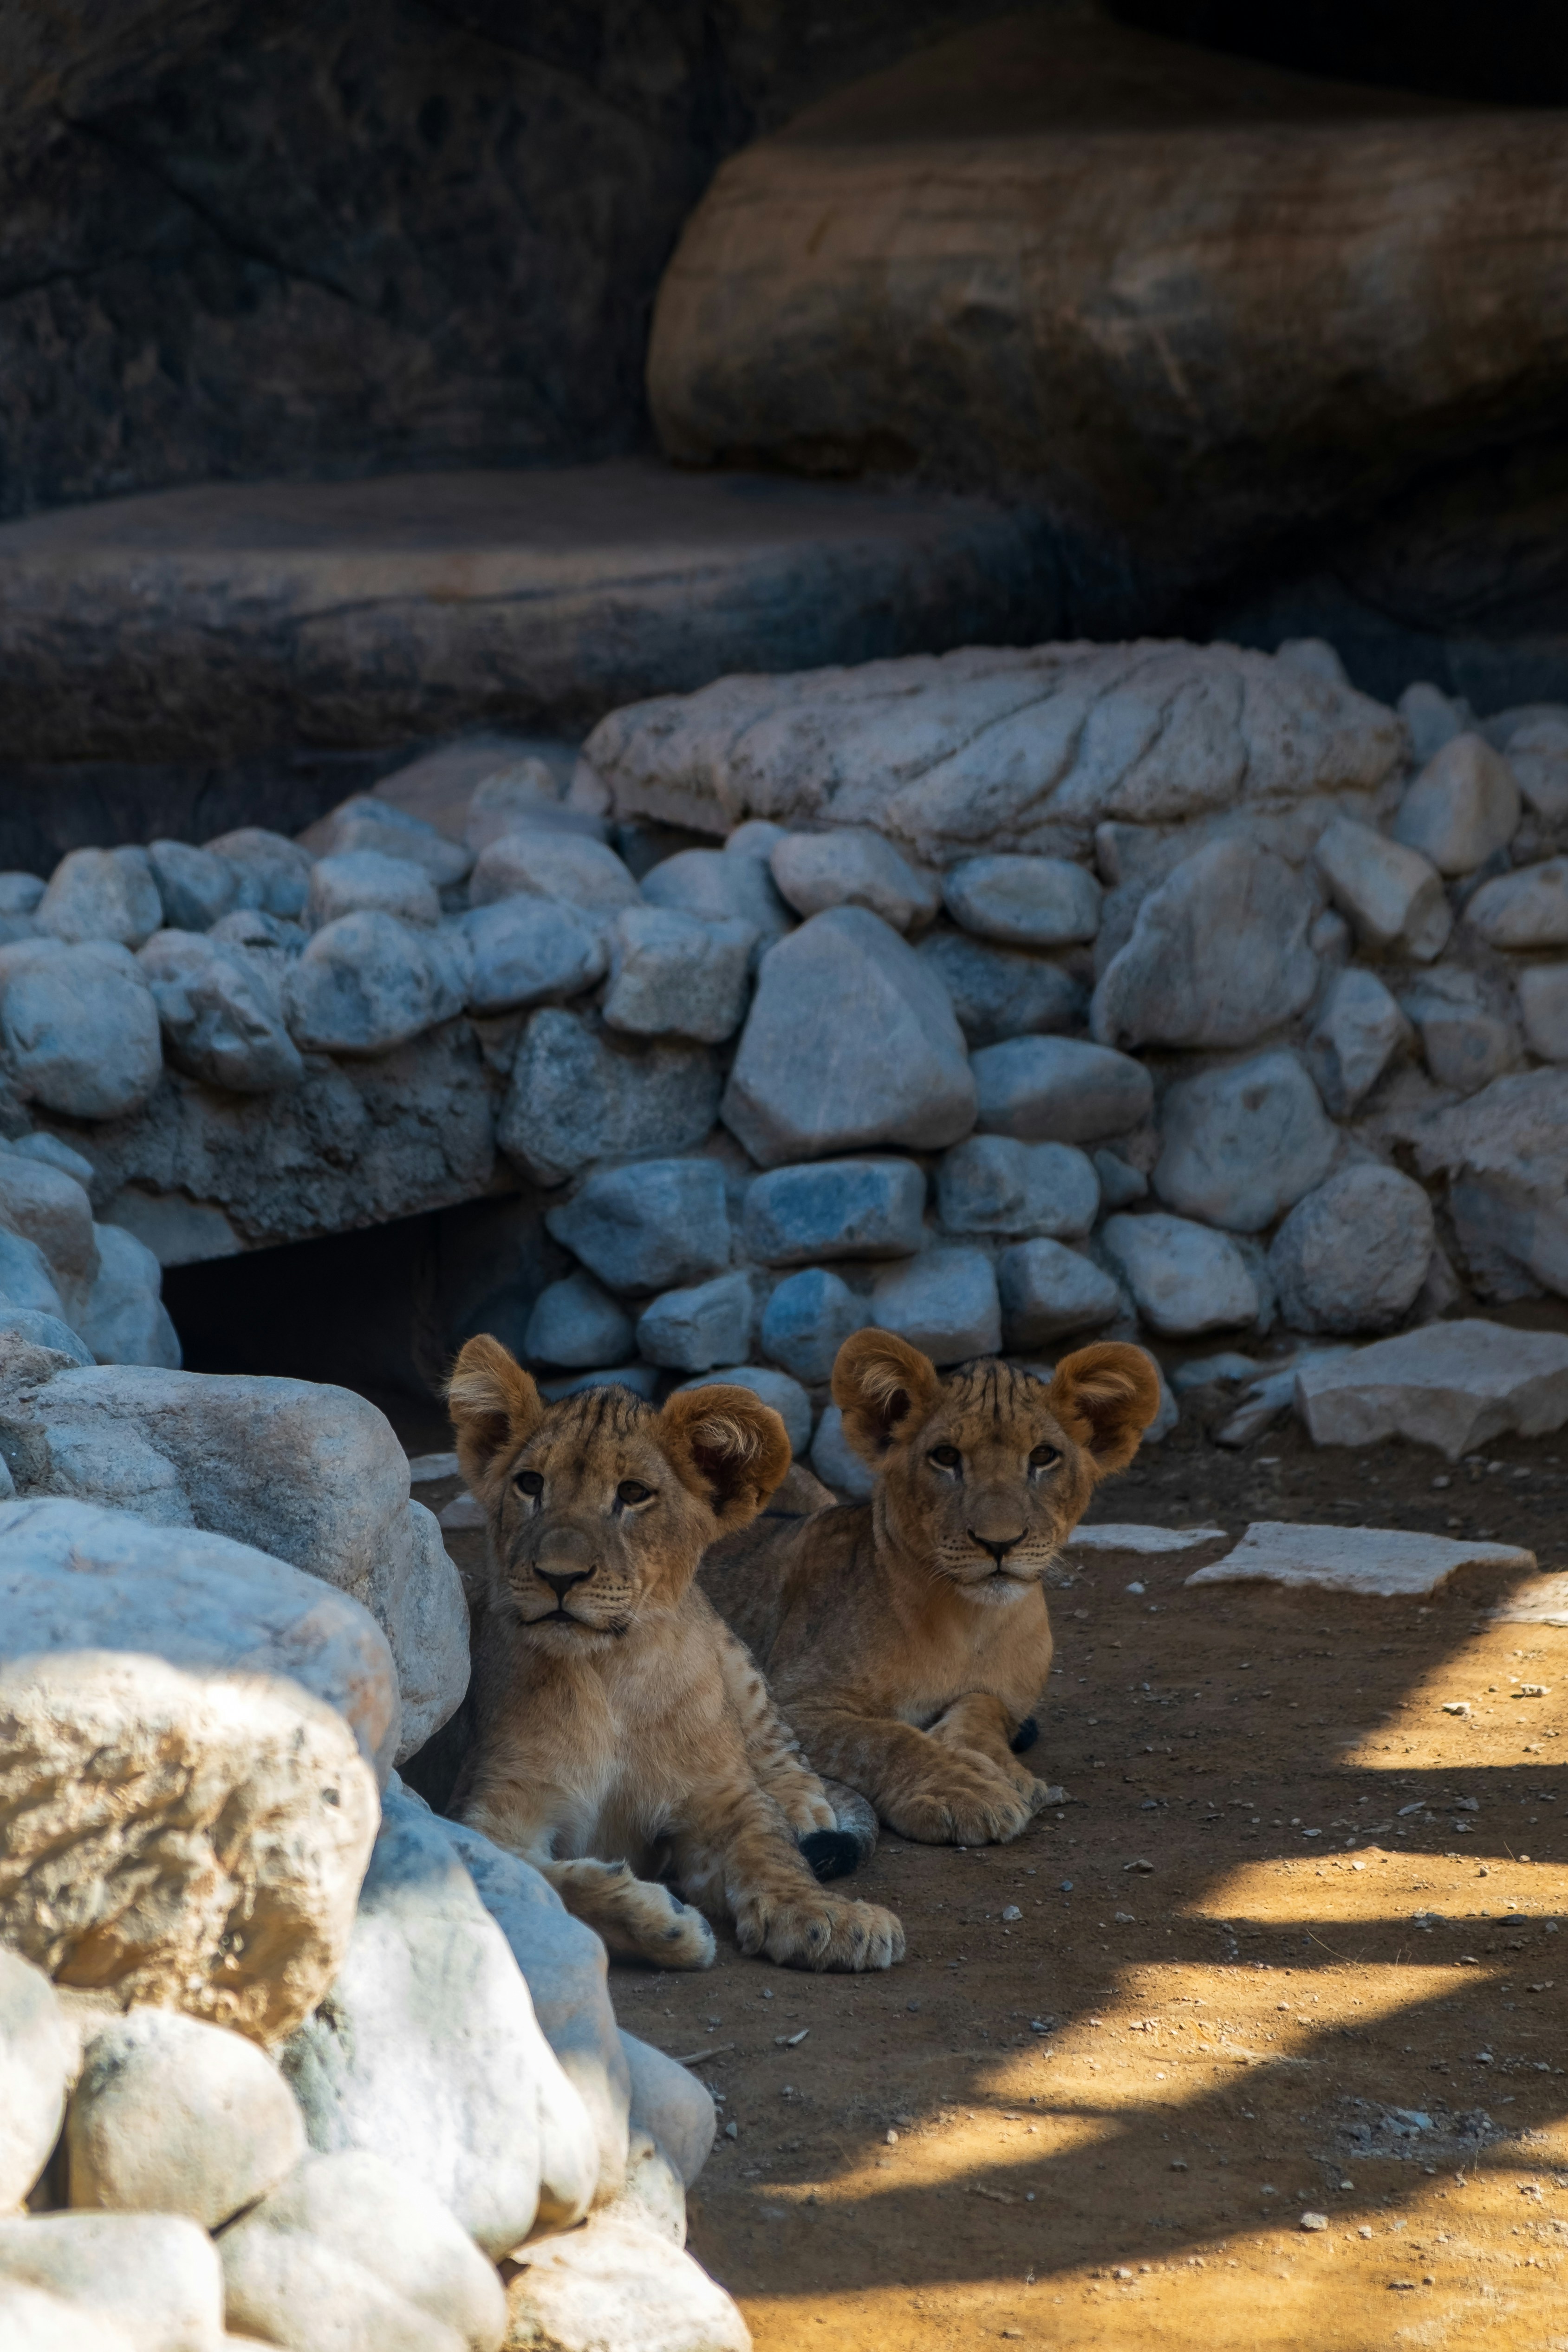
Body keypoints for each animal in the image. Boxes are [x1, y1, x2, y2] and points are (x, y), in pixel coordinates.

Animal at [445, 1335, 905, 1971]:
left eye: (633, 1494)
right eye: (530, 1484)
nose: (558, 1576)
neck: (607, 1671)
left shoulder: (720, 1798)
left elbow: (769, 1849)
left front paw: (827, 1918)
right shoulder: (486, 1812)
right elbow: (541, 1878)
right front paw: (662, 1924)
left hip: (735, 1656)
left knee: (785, 1757)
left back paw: (805, 1809)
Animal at [699, 1332, 1162, 1846]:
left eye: (1043, 1457)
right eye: (946, 1456)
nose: (998, 1542)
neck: (971, 1622)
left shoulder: (1005, 1698)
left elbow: (981, 1708)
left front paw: (997, 1766)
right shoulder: (790, 1703)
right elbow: (882, 1739)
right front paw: (962, 1790)